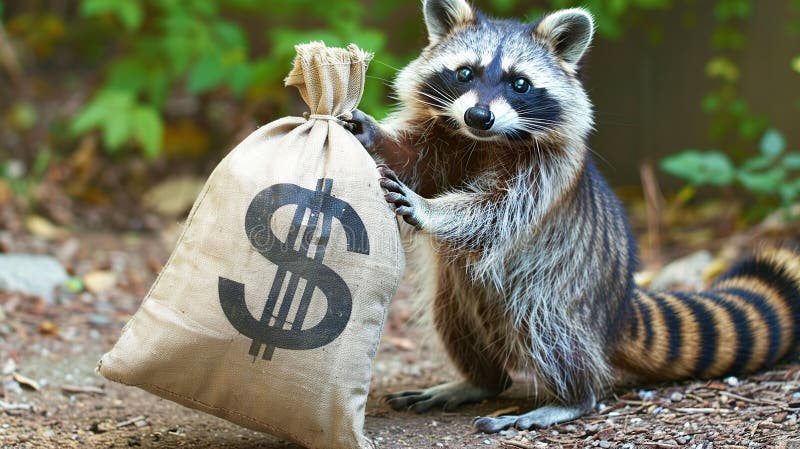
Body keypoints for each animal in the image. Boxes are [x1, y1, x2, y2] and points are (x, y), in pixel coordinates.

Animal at [348, 0, 800, 432]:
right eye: (464, 73)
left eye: (520, 83)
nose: (479, 116)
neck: (485, 140)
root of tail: (619, 307)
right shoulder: (446, 136)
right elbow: (416, 162)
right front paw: (374, 137)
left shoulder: (545, 175)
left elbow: (494, 215)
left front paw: (430, 210)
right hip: (460, 293)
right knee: (454, 320)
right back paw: (481, 380)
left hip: (566, 290)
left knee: (547, 326)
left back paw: (571, 398)